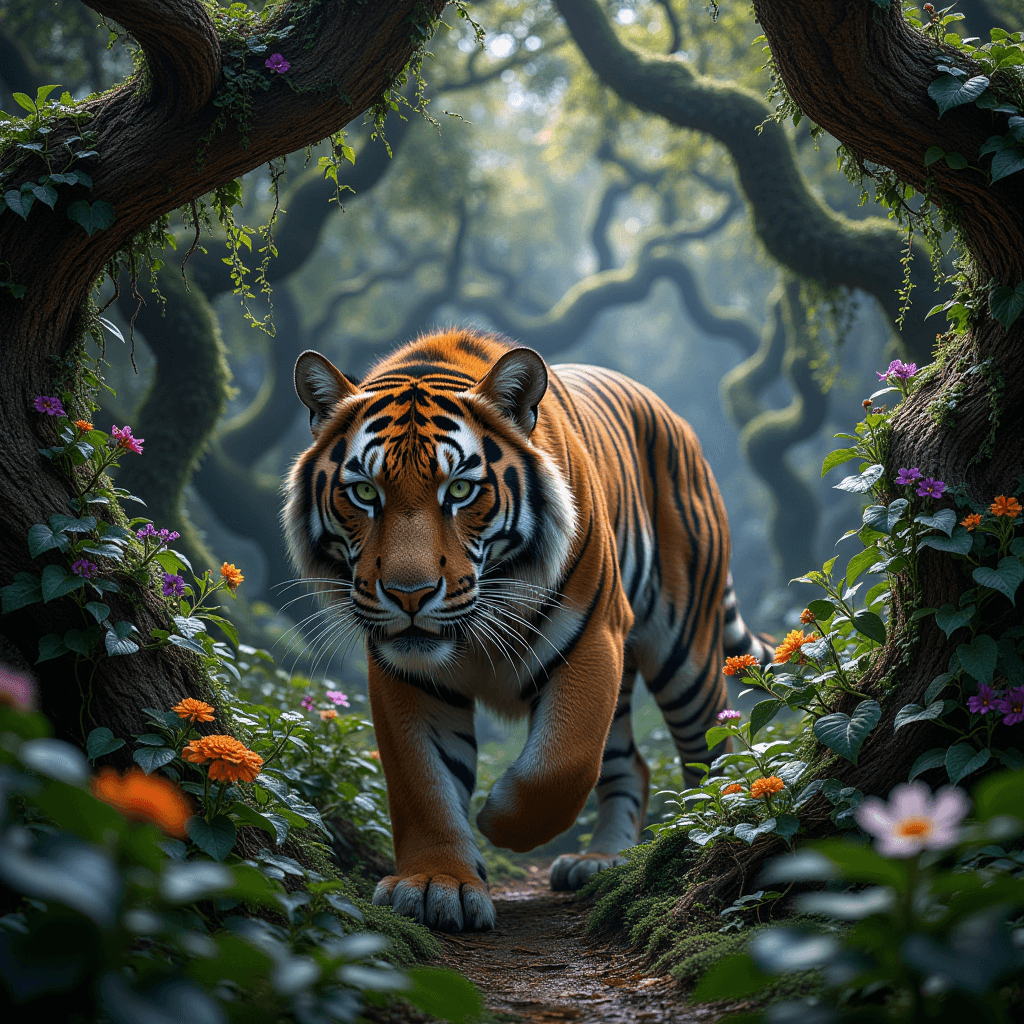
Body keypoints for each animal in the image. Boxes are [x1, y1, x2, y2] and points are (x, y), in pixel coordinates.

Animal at [283, 328, 771, 933]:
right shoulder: (406, 673)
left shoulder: (594, 637)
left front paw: (497, 822)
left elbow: (560, 765)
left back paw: (707, 830)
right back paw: (601, 859)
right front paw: (437, 883)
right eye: (365, 493)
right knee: (629, 762)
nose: (409, 595)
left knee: (712, 744)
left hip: (686, 650)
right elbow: (422, 783)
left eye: (460, 491)